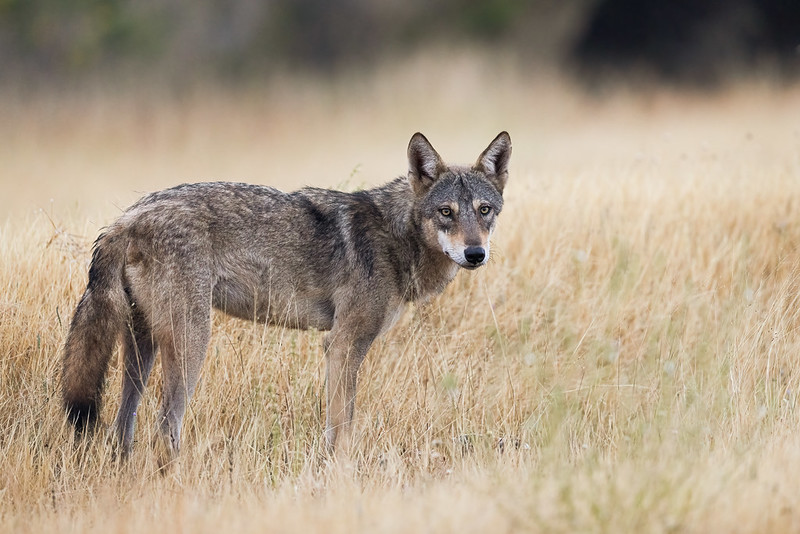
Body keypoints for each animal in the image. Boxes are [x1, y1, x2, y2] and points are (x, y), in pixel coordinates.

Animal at [61, 131, 511, 458]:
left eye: (484, 211)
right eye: (446, 212)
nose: (475, 254)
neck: (395, 236)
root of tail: (126, 219)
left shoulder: (340, 347)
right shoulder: (343, 345)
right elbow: (341, 428)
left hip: (144, 349)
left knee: (122, 428)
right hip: (191, 343)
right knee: (164, 427)